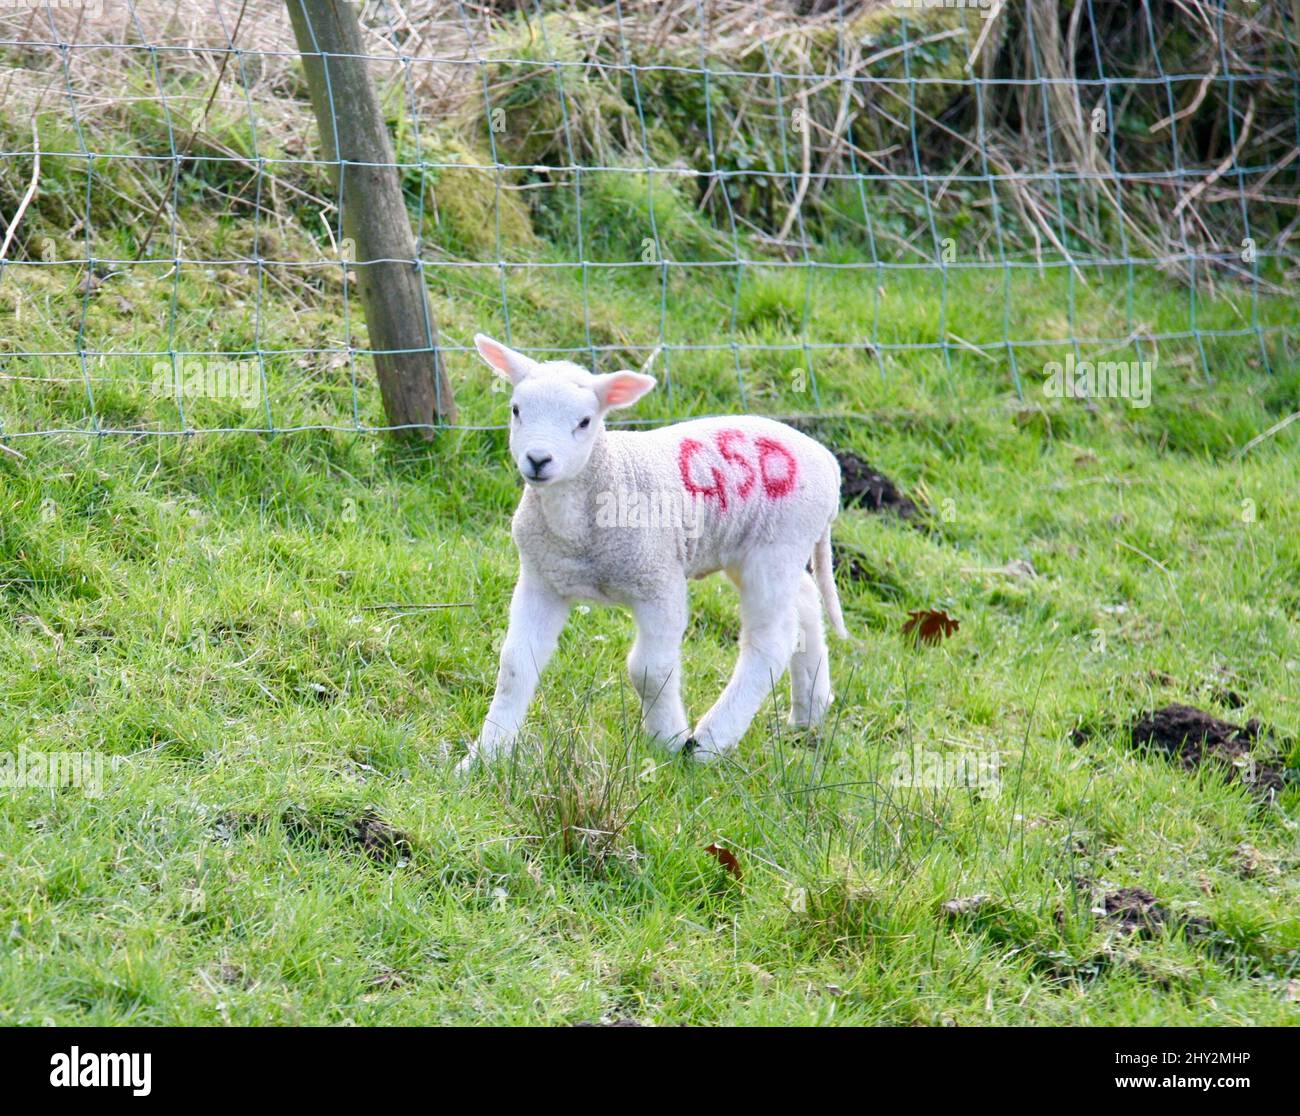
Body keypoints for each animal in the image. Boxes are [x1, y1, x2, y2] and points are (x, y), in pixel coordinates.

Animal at [456, 333, 847, 774]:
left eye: (585, 421)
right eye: (516, 409)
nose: (538, 460)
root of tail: (829, 463)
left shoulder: (658, 581)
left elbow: (648, 670)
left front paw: (669, 741)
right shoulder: (543, 579)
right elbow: (515, 665)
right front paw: (484, 757)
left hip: (777, 544)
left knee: (772, 641)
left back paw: (710, 741)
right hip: (761, 547)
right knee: (806, 603)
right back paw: (810, 712)